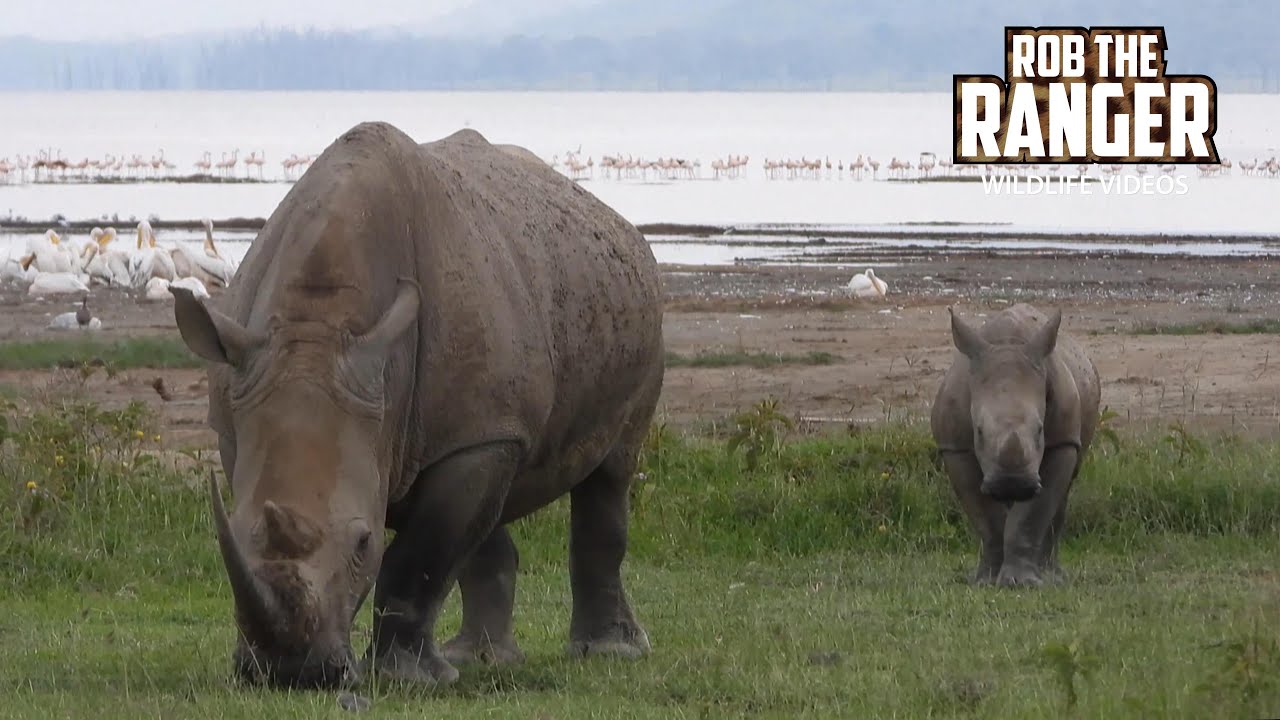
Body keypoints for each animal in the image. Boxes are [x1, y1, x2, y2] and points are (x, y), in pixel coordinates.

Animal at [171, 122, 664, 689]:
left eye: (363, 543)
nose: (290, 672)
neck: (318, 321)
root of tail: (615, 221)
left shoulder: (475, 436)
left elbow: (419, 557)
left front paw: (406, 680)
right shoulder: (238, 417)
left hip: (633, 316)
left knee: (610, 475)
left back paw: (608, 653)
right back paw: (478, 659)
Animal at [930, 304, 1100, 587]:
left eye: (1040, 430)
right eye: (979, 431)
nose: (1012, 483)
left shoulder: (1062, 442)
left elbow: (1032, 515)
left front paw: (1022, 583)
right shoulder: (955, 448)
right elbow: (986, 517)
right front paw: (987, 581)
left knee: (1063, 492)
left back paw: (1052, 578)